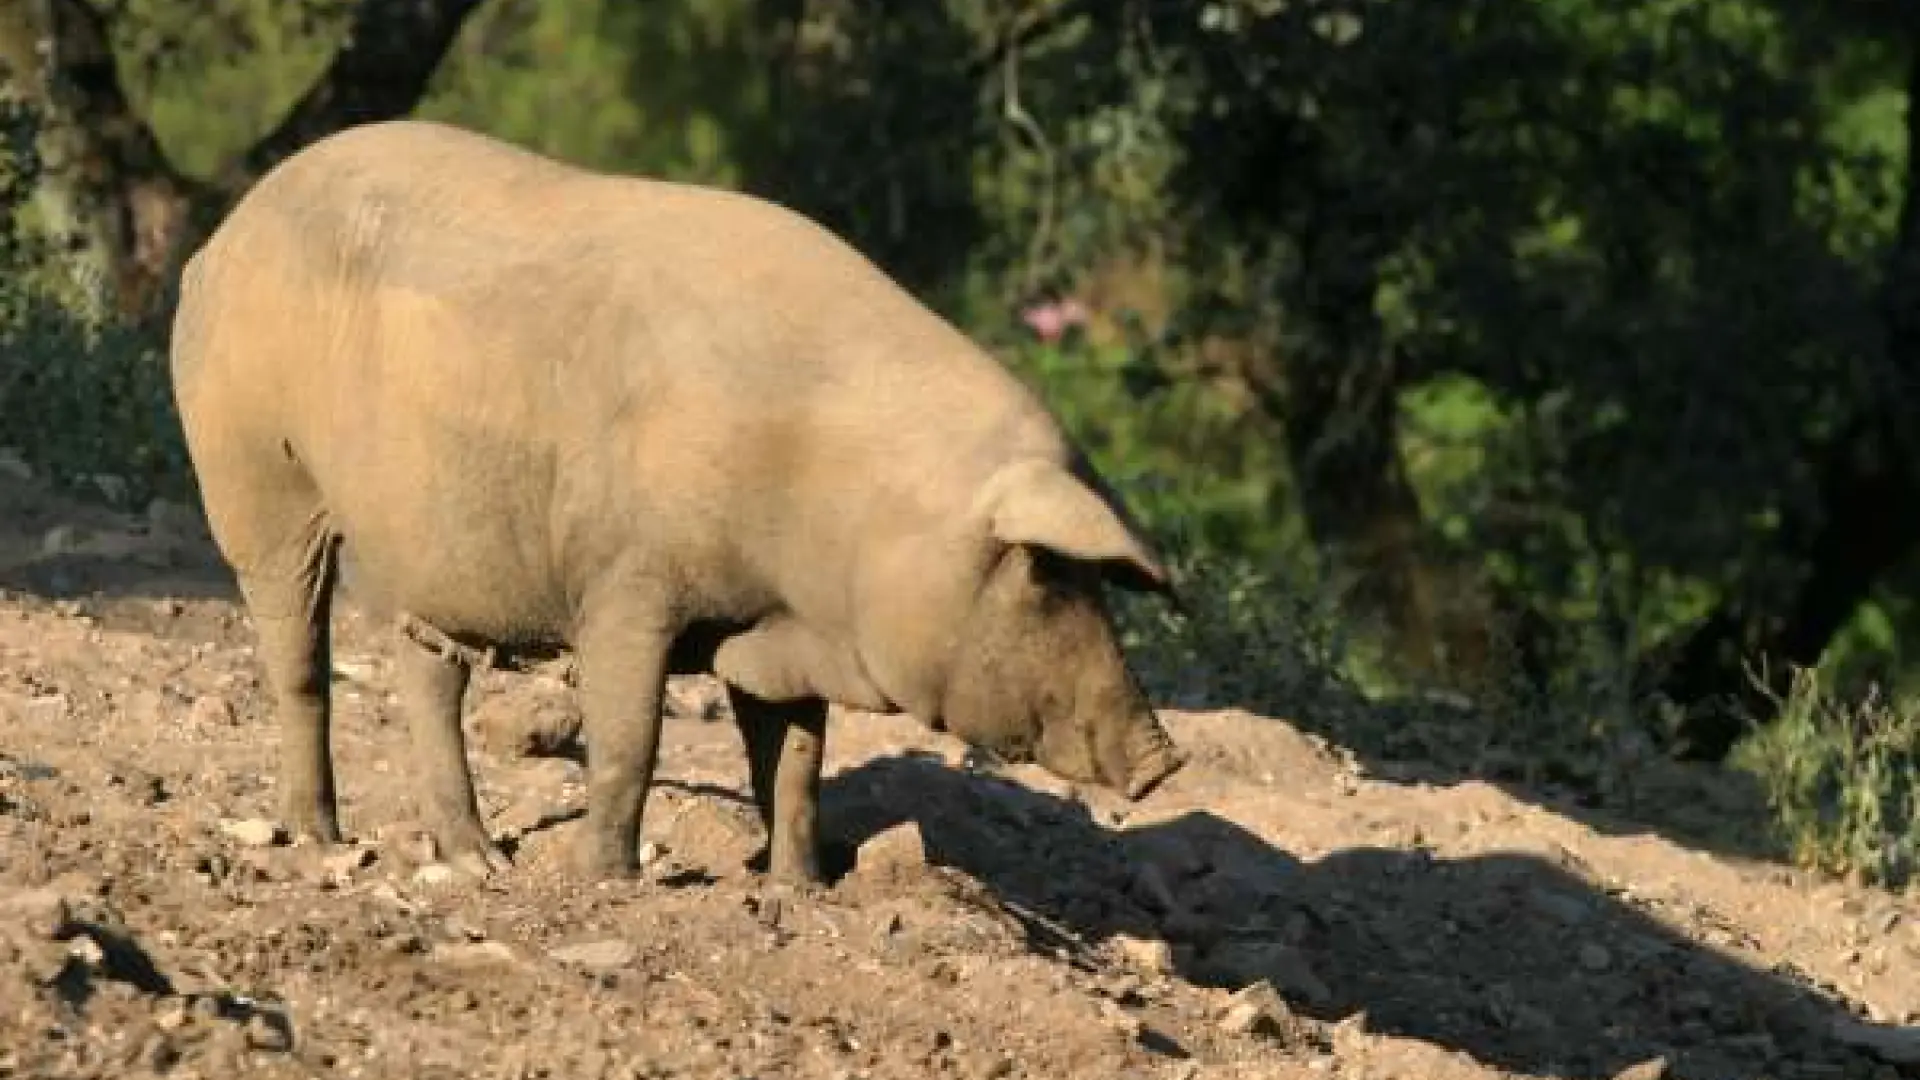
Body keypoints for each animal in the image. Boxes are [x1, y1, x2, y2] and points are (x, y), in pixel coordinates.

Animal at [167, 119, 1187, 883]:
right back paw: (321, 837)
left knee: (427, 677)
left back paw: (480, 863)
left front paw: (799, 888)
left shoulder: (777, 636)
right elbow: (632, 736)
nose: (1164, 759)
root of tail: (215, 243)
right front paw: (605, 880)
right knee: (299, 659)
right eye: (1044, 573)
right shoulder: (626, 582)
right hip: (256, 474)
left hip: (432, 552)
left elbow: (797, 759)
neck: (847, 515)